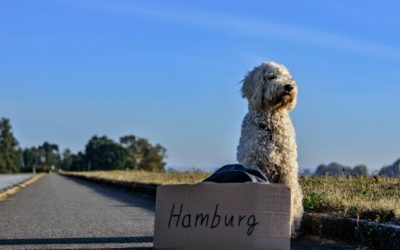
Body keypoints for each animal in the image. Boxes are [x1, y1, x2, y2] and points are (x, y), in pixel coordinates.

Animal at [238, 61, 304, 236]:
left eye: (287, 76)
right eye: (272, 76)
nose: (289, 86)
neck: (270, 127)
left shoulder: (287, 167)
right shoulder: (252, 163)